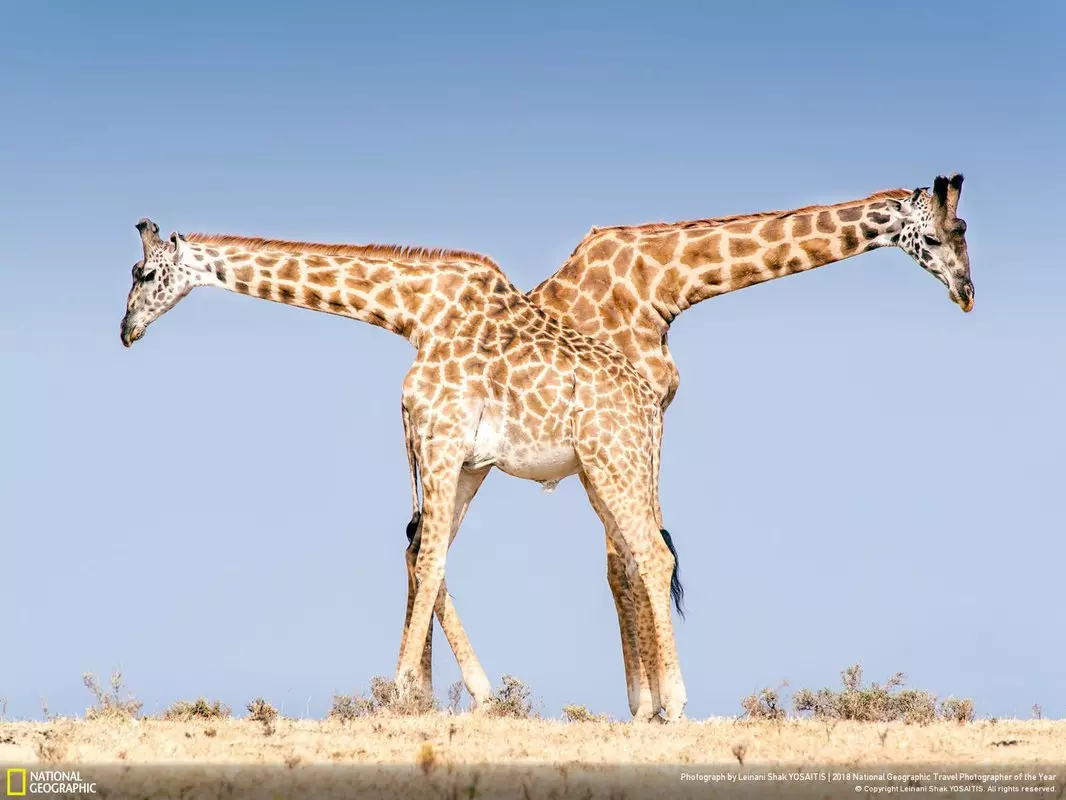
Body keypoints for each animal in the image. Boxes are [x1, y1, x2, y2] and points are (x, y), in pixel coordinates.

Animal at [120, 219, 690, 721]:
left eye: (143, 273)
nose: (126, 329)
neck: (414, 314)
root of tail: (649, 406)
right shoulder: (456, 457)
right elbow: (423, 558)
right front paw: (451, 695)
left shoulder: (443, 441)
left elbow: (431, 561)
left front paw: (397, 697)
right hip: (604, 471)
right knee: (635, 560)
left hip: (613, 459)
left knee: (653, 556)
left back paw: (676, 704)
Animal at [400, 172, 976, 716]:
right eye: (935, 235)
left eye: (964, 228)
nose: (966, 292)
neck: (665, 283)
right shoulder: (626, 424)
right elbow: (627, 563)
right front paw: (648, 703)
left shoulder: (644, 421)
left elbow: (633, 557)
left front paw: (649, 700)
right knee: (427, 548)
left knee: (420, 545)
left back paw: (420, 693)